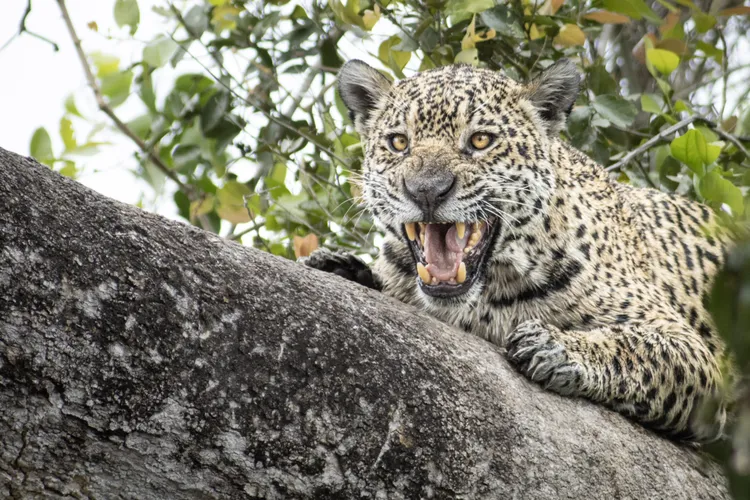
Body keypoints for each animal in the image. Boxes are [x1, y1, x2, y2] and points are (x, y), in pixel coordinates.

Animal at [304, 58, 733, 442]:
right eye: (398, 143)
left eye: (480, 140)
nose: (426, 190)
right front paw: (339, 267)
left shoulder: (690, 347)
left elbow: (635, 347)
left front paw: (556, 347)